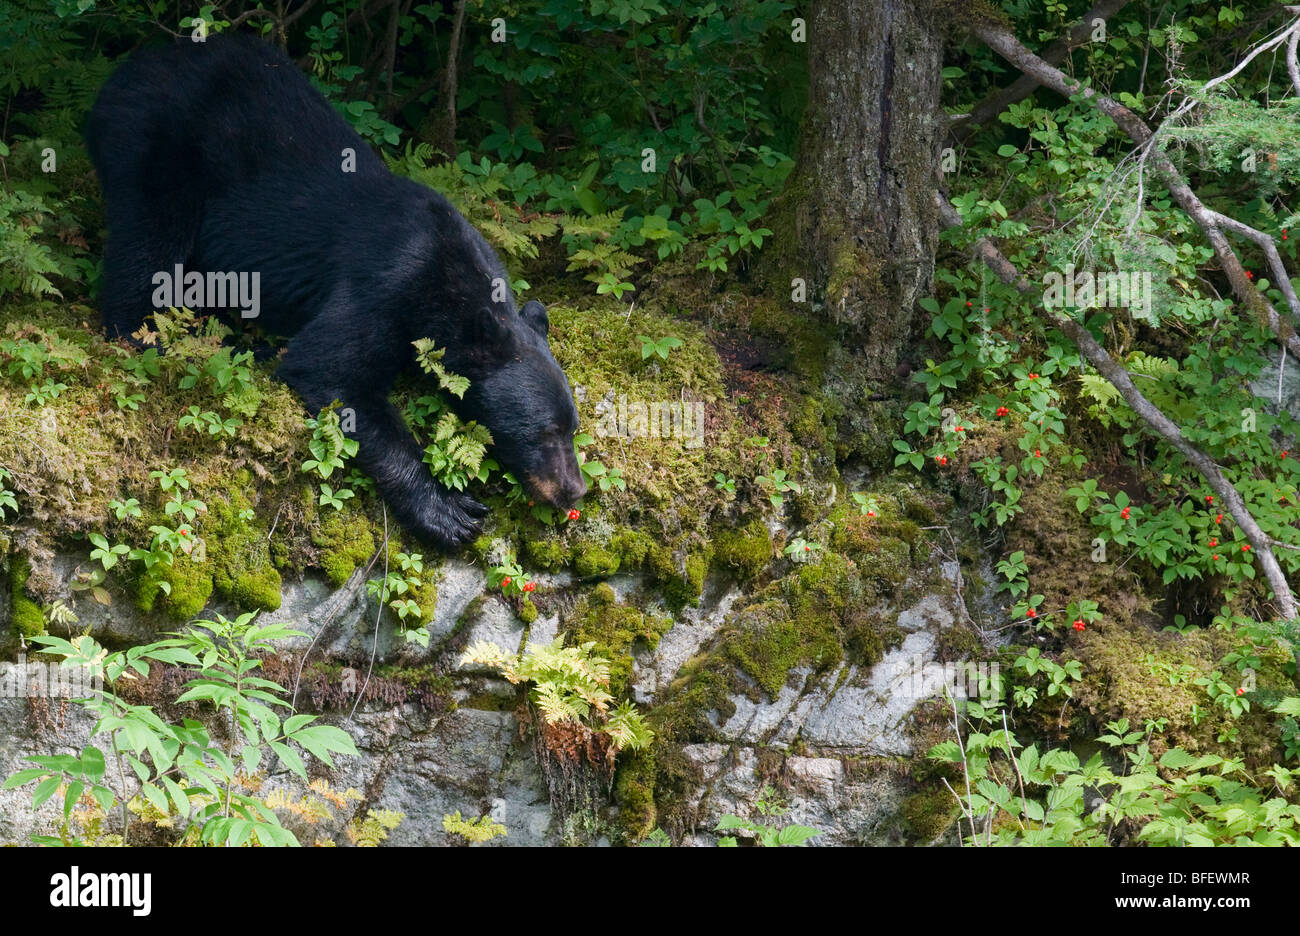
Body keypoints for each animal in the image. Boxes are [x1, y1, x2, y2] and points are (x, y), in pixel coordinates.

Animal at [86, 33, 586, 549]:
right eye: (544, 432)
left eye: (572, 427)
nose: (574, 490)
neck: (448, 274)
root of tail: (130, 66)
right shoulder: (387, 285)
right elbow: (329, 369)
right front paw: (447, 510)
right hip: (155, 143)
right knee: (148, 244)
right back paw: (153, 337)